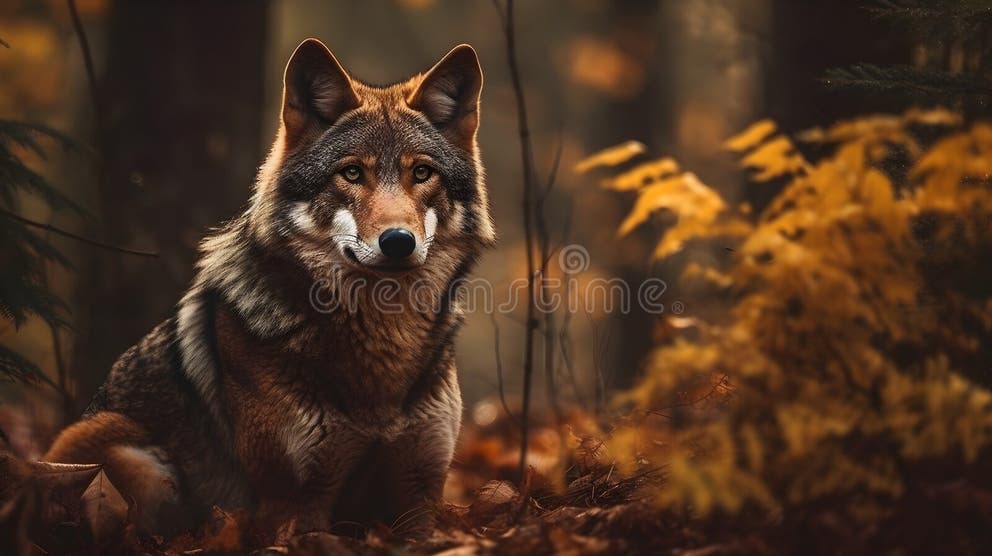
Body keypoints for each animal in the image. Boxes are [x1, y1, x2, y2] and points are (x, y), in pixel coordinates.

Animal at [45, 38, 493, 538]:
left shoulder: (419, 495)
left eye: (422, 174)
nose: (398, 241)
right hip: (124, 453)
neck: (381, 362)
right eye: (352, 174)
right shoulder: (295, 502)